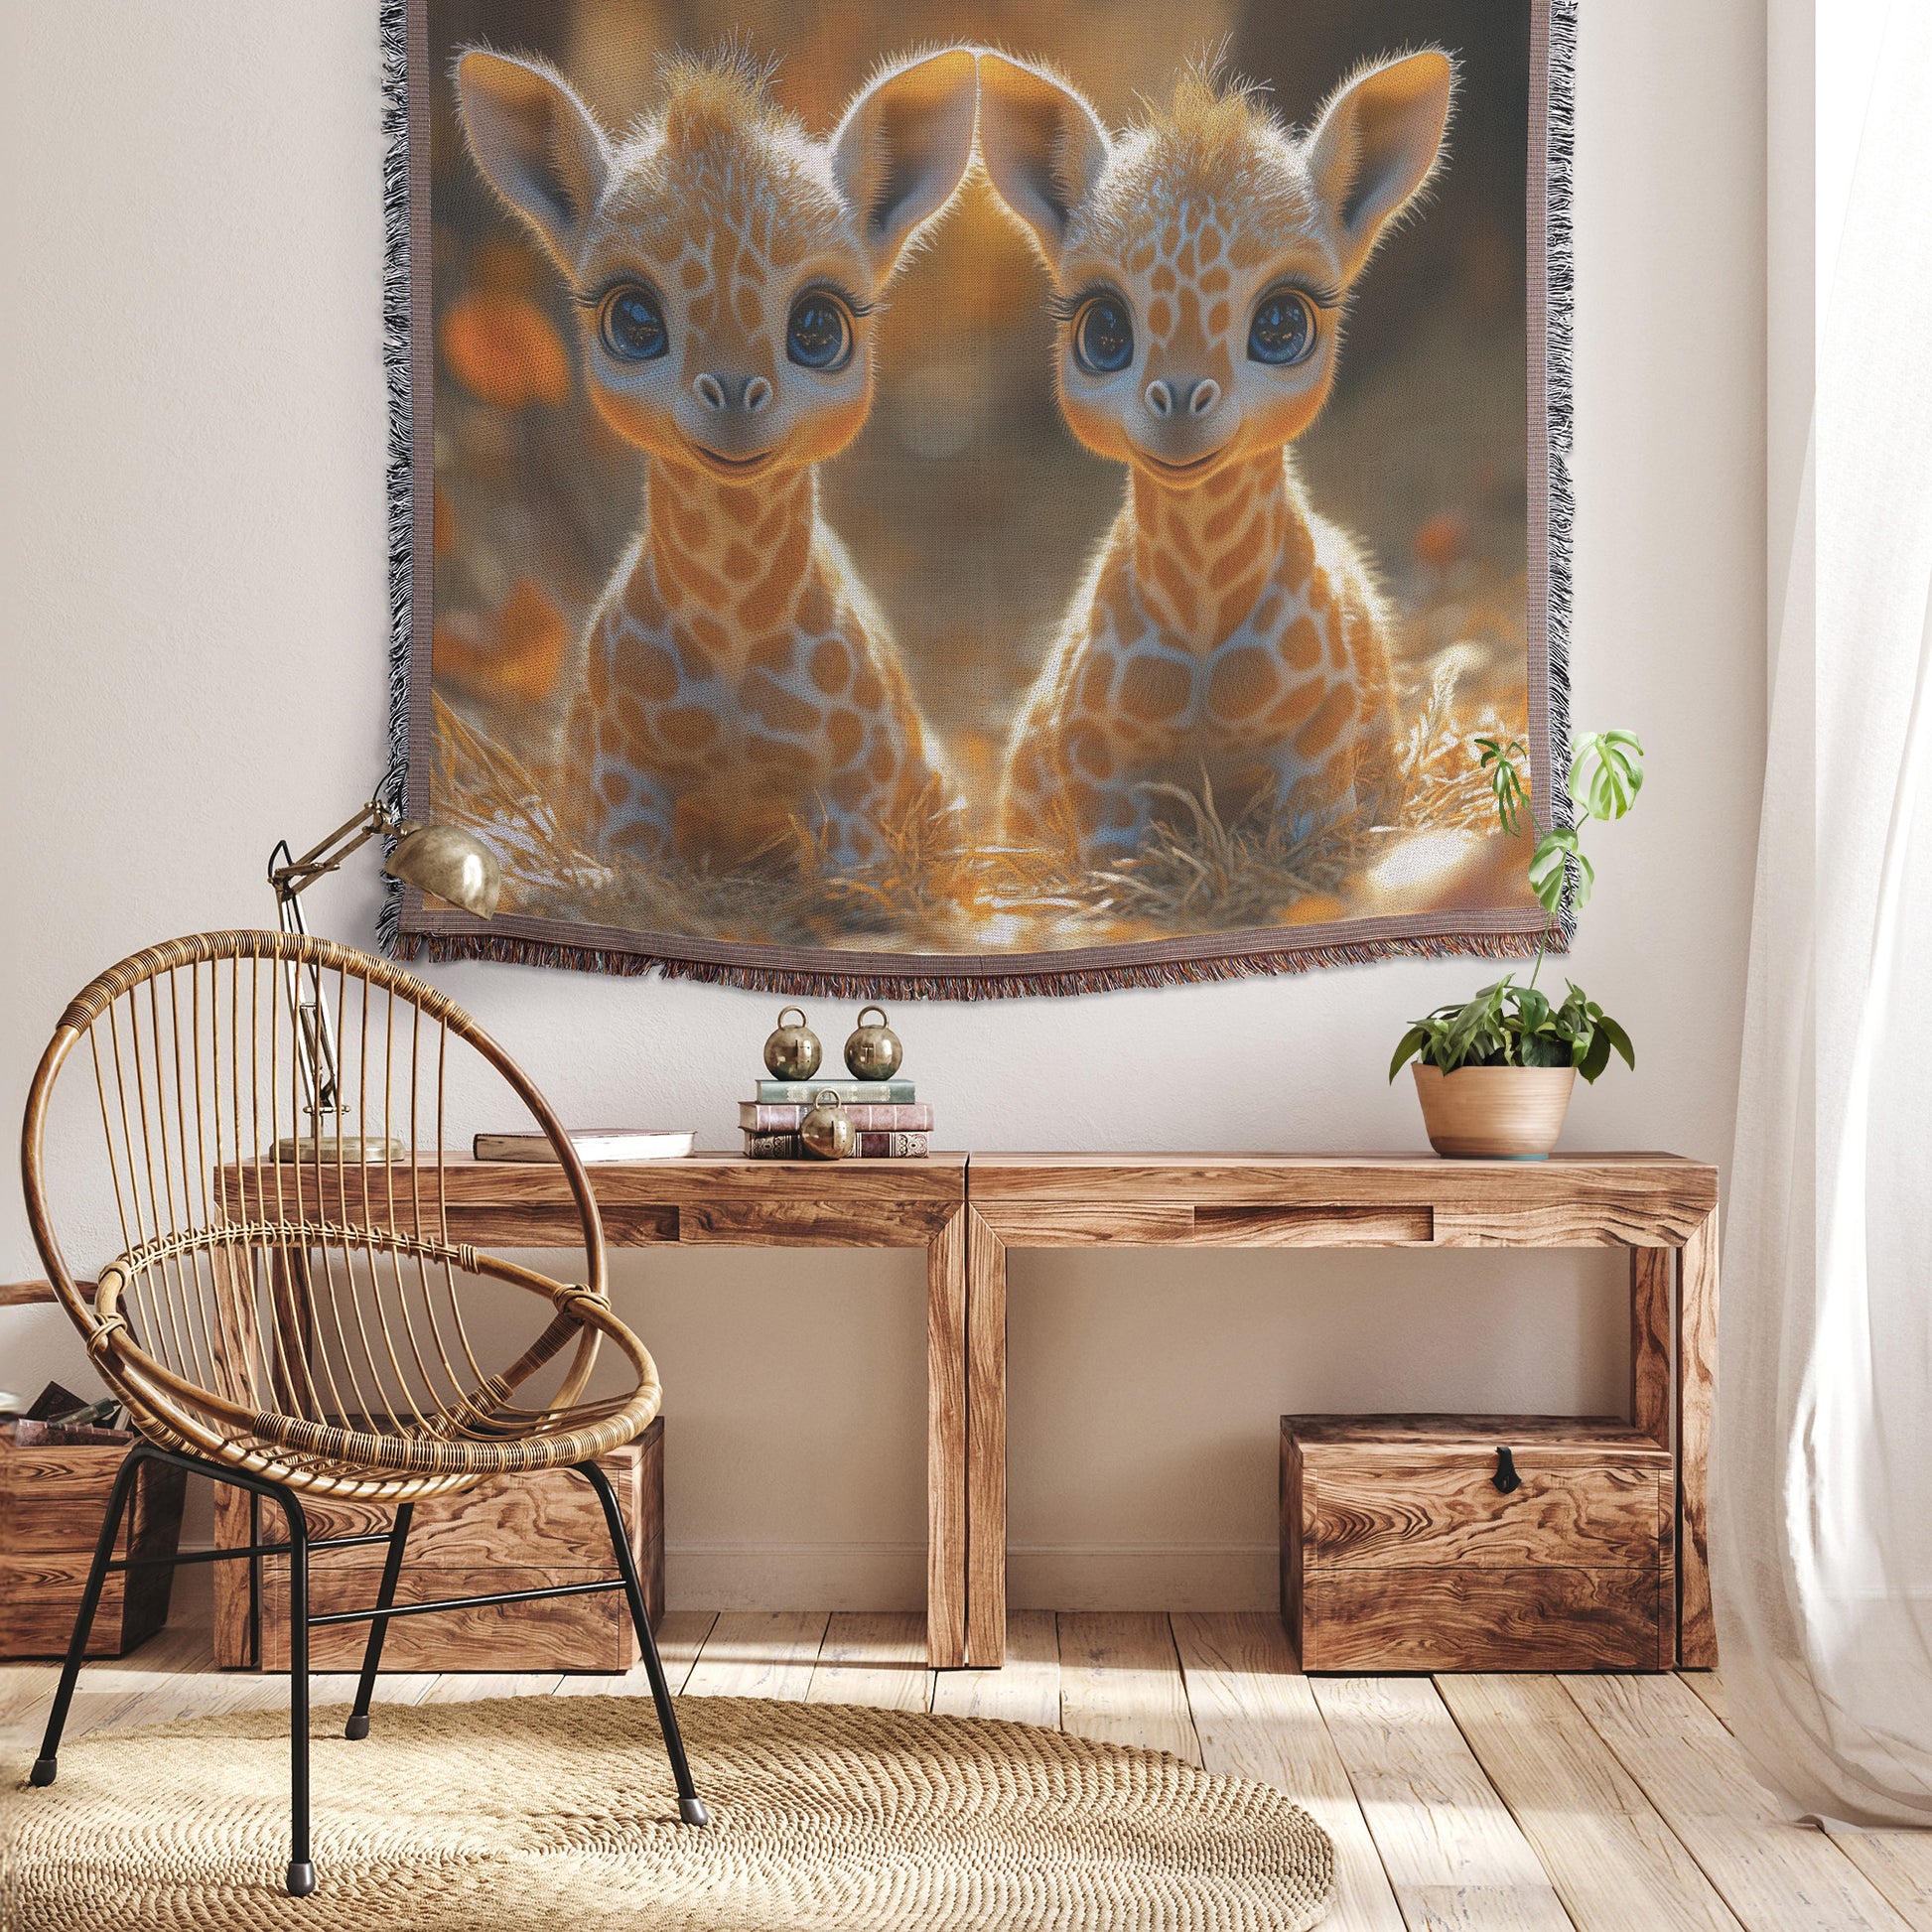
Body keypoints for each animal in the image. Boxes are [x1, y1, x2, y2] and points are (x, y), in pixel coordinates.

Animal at [455, 47, 978, 871]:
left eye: (820, 326)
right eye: (634, 318)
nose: (733, 395)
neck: (736, 649)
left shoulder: (859, 784)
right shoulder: (618, 775)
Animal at [977, 50, 1455, 863]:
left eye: (1283, 322)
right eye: (1103, 329)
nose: (1177, 402)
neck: (1201, 629)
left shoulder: (1321, 735)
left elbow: (1317, 835)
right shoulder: (1092, 754)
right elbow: (1114, 867)